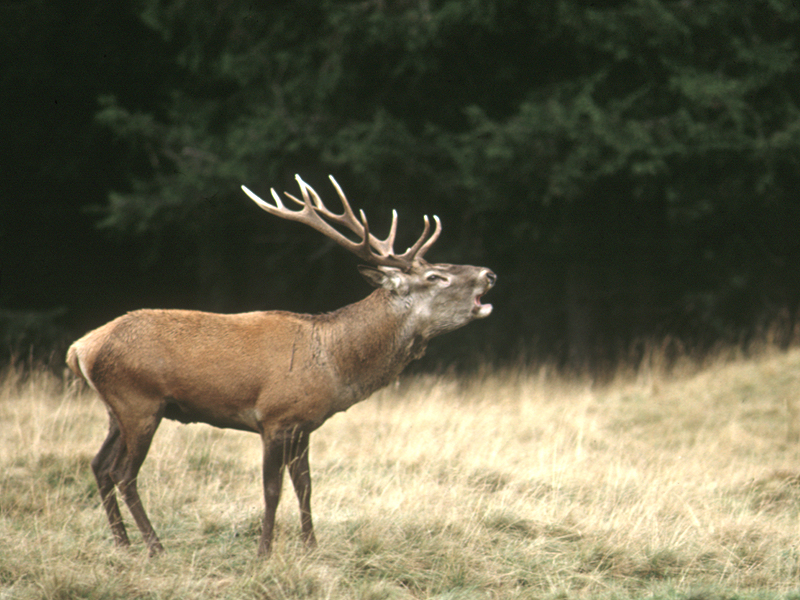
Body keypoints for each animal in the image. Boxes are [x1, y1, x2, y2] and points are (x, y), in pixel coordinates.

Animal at [66, 174, 495, 557]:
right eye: (435, 276)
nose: (489, 273)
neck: (334, 364)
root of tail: (81, 347)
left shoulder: (304, 425)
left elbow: (305, 486)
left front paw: (311, 548)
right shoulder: (274, 417)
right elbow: (272, 490)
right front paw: (265, 551)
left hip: (116, 409)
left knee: (99, 465)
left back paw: (122, 544)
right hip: (139, 402)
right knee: (123, 473)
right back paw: (155, 547)